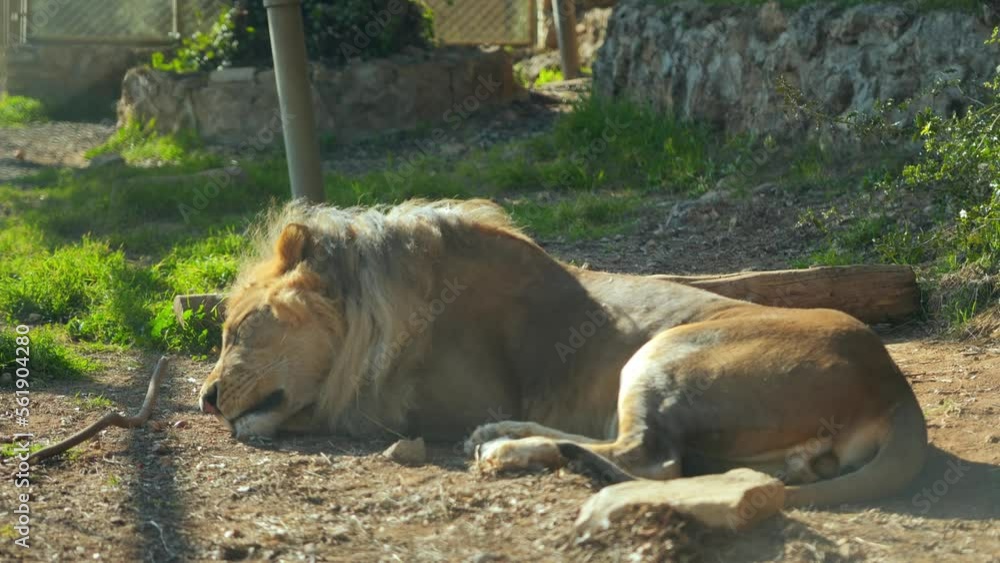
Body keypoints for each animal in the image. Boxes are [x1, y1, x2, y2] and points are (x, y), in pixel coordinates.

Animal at [198, 199, 927, 507]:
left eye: (241, 329)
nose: (204, 398)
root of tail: (897, 389)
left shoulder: (417, 403)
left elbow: (319, 409)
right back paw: (502, 437)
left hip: (664, 351)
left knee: (649, 457)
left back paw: (509, 449)